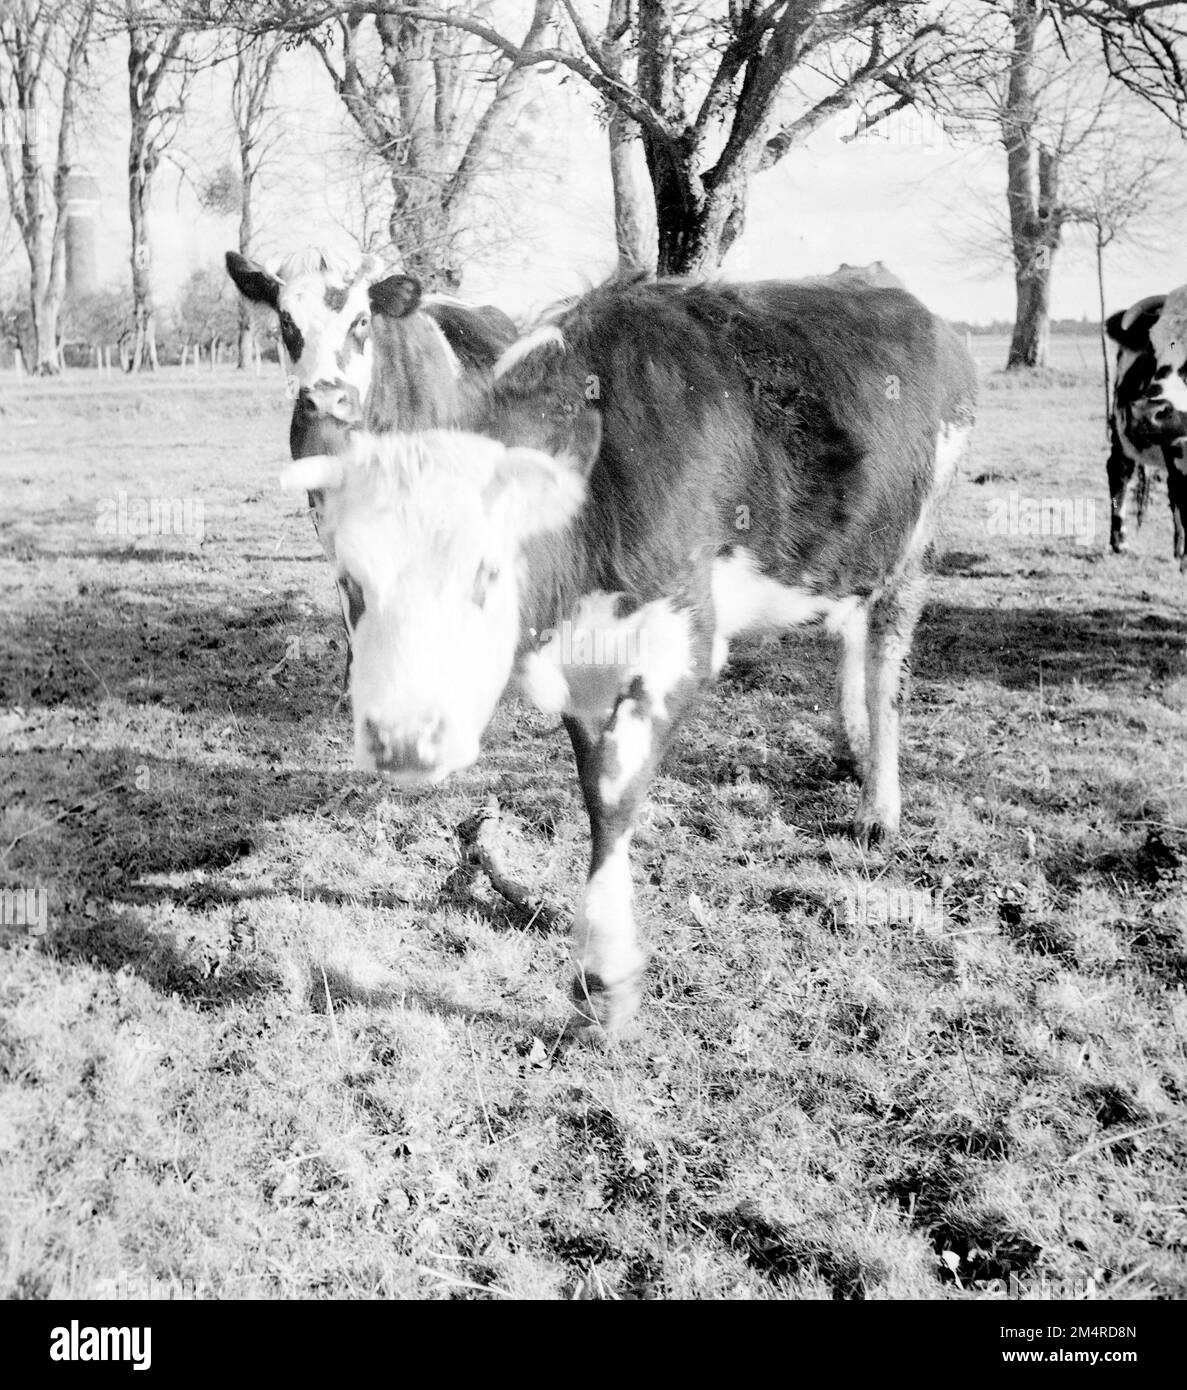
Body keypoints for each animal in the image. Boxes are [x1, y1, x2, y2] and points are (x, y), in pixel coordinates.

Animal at [280, 274, 977, 1036]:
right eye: (351, 581)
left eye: (487, 571)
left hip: (914, 547)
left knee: (885, 667)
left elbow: (615, 793)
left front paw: (604, 977)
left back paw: (879, 807)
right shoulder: (582, 660)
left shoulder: (681, 634)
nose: (402, 740)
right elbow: (592, 783)